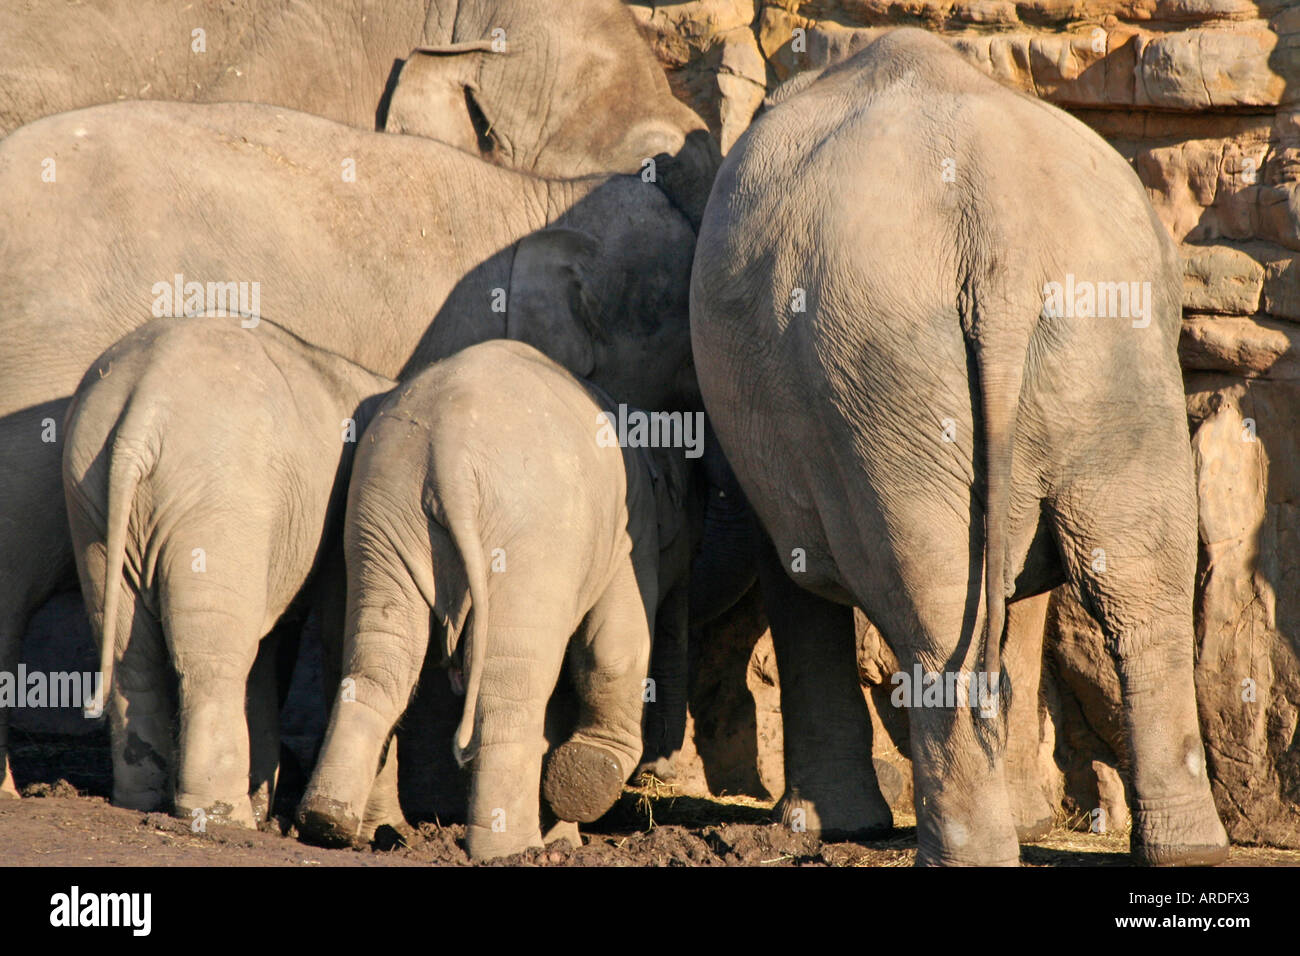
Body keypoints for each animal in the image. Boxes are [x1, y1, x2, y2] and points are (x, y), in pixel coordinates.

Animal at [61, 315, 395, 827]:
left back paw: (143, 800)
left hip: (88, 496)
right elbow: (335, 631)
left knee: (128, 650)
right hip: (217, 501)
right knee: (212, 657)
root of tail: (143, 406)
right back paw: (223, 817)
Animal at [297, 339, 701, 860]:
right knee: (509, 689)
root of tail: (446, 458)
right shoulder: (633, 533)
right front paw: (579, 794)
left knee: (380, 662)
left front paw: (564, 829)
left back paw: (336, 824)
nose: (663, 770)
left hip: (381, 512)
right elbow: (616, 646)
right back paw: (511, 849)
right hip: (528, 543)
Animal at [689, 29, 1229, 866]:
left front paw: (821, 825)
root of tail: (1000, 239)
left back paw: (965, 850)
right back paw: (1185, 850)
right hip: (1112, 352)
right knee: (1142, 583)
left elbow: (797, 573)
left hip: (884, 366)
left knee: (933, 600)